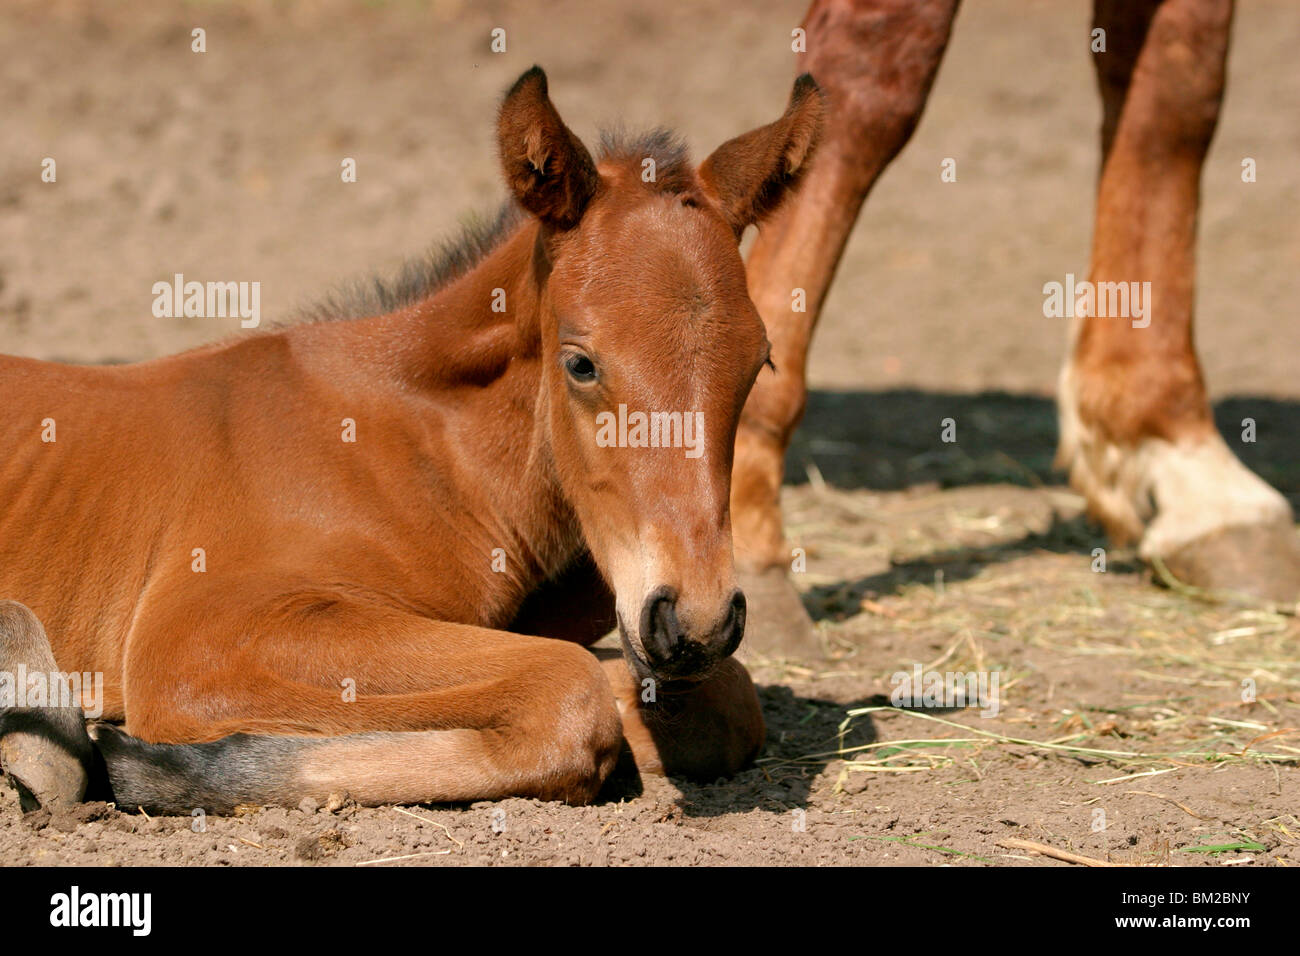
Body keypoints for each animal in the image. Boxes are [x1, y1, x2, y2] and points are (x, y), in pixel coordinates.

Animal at [0, 66, 824, 813]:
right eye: (581, 364)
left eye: (759, 363)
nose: (698, 622)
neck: (417, 451)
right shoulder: (196, 639)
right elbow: (569, 692)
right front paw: (142, 764)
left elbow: (721, 704)